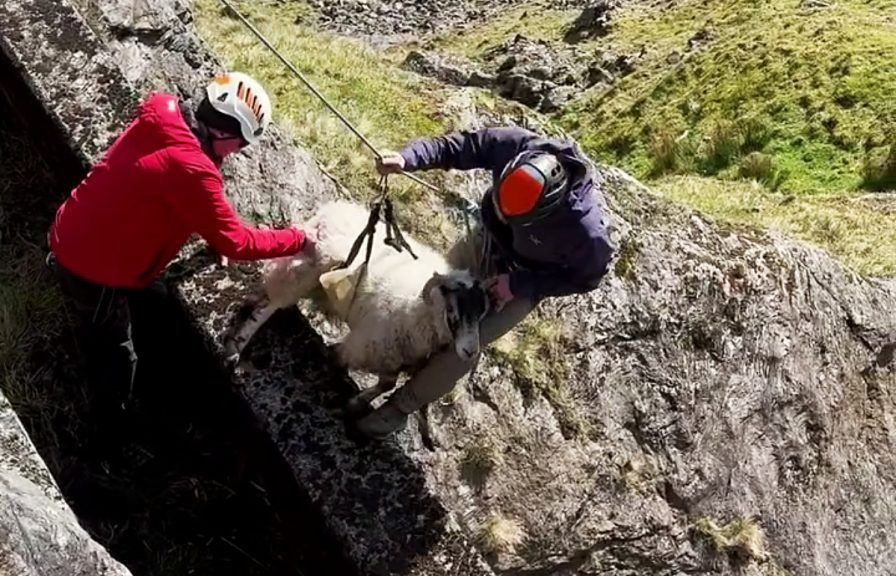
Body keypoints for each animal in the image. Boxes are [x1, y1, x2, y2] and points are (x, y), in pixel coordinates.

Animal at [224, 199, 490, 414]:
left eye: (482, 311)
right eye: (453, 303)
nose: (471, 351)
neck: (421, 309)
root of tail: (333, 209)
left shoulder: (393, 353)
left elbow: (388, 384)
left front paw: (357, 403)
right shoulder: (373, 341)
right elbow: (347, 362)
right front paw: (333, 374)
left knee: (268, 288)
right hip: (304, 270)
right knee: (269, 306)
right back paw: (237, 347)